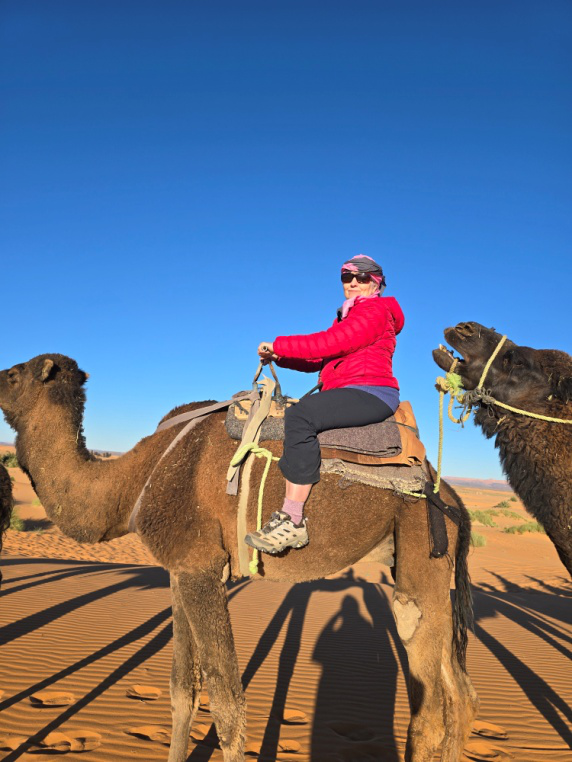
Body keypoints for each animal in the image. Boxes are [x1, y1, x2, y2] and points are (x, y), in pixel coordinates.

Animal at [0, 353, 478, 762]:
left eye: (13, 375)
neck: (136, 476)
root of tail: (453, 496)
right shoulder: (182, 569)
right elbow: (182, 689)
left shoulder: (200, 568)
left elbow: (228, 703)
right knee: (460, 694)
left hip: (420, 542)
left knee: (429, 704)